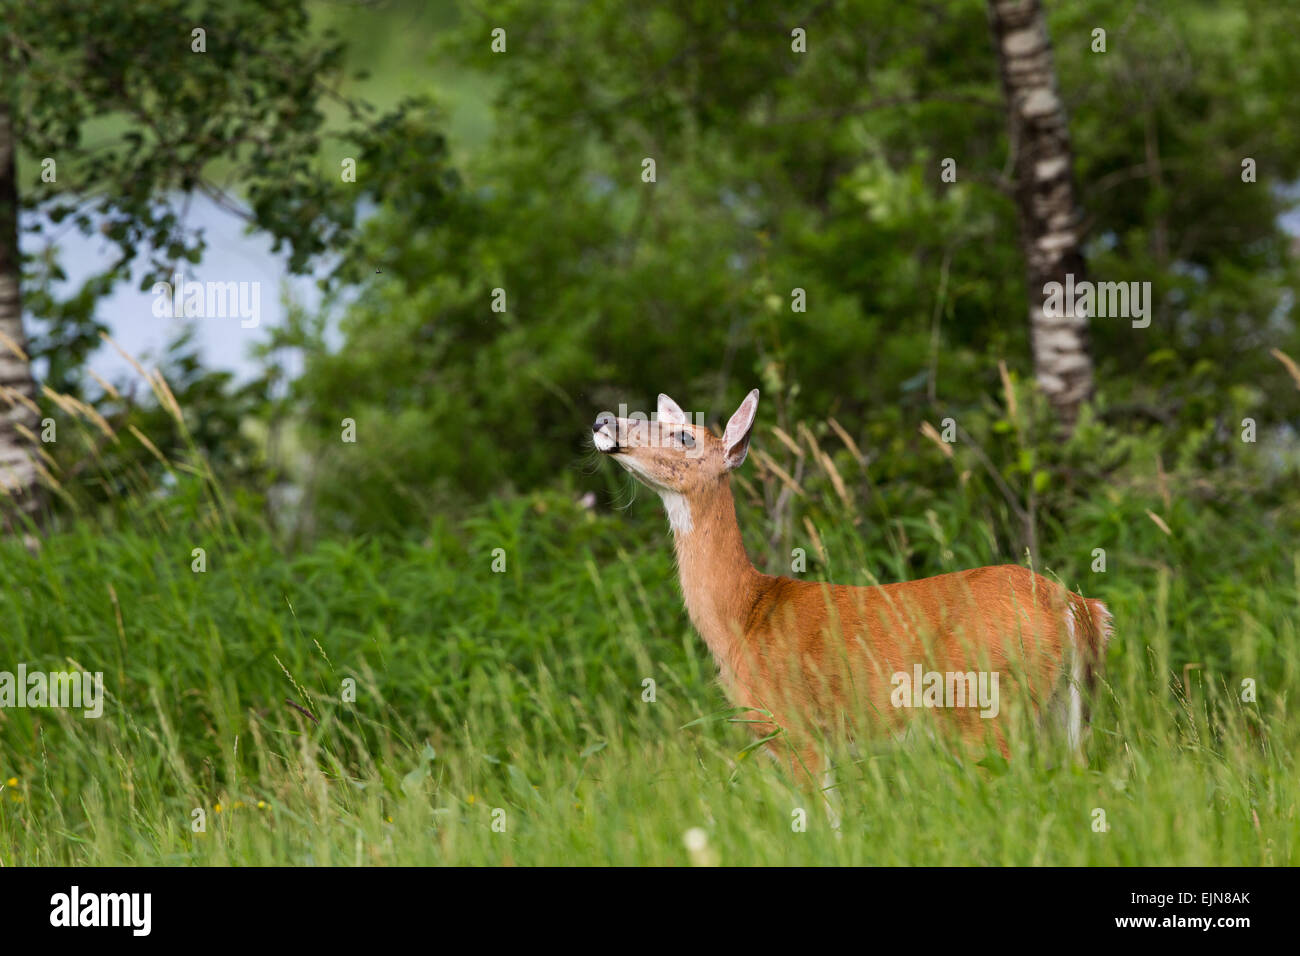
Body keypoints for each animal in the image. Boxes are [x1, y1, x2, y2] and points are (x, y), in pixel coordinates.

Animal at [592, 389, 1112, 787]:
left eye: (685, 434)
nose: (602, 420)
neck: (744, 615)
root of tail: (1076, 606)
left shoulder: (794, 726)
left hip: (986, 706)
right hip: (1063, 707)